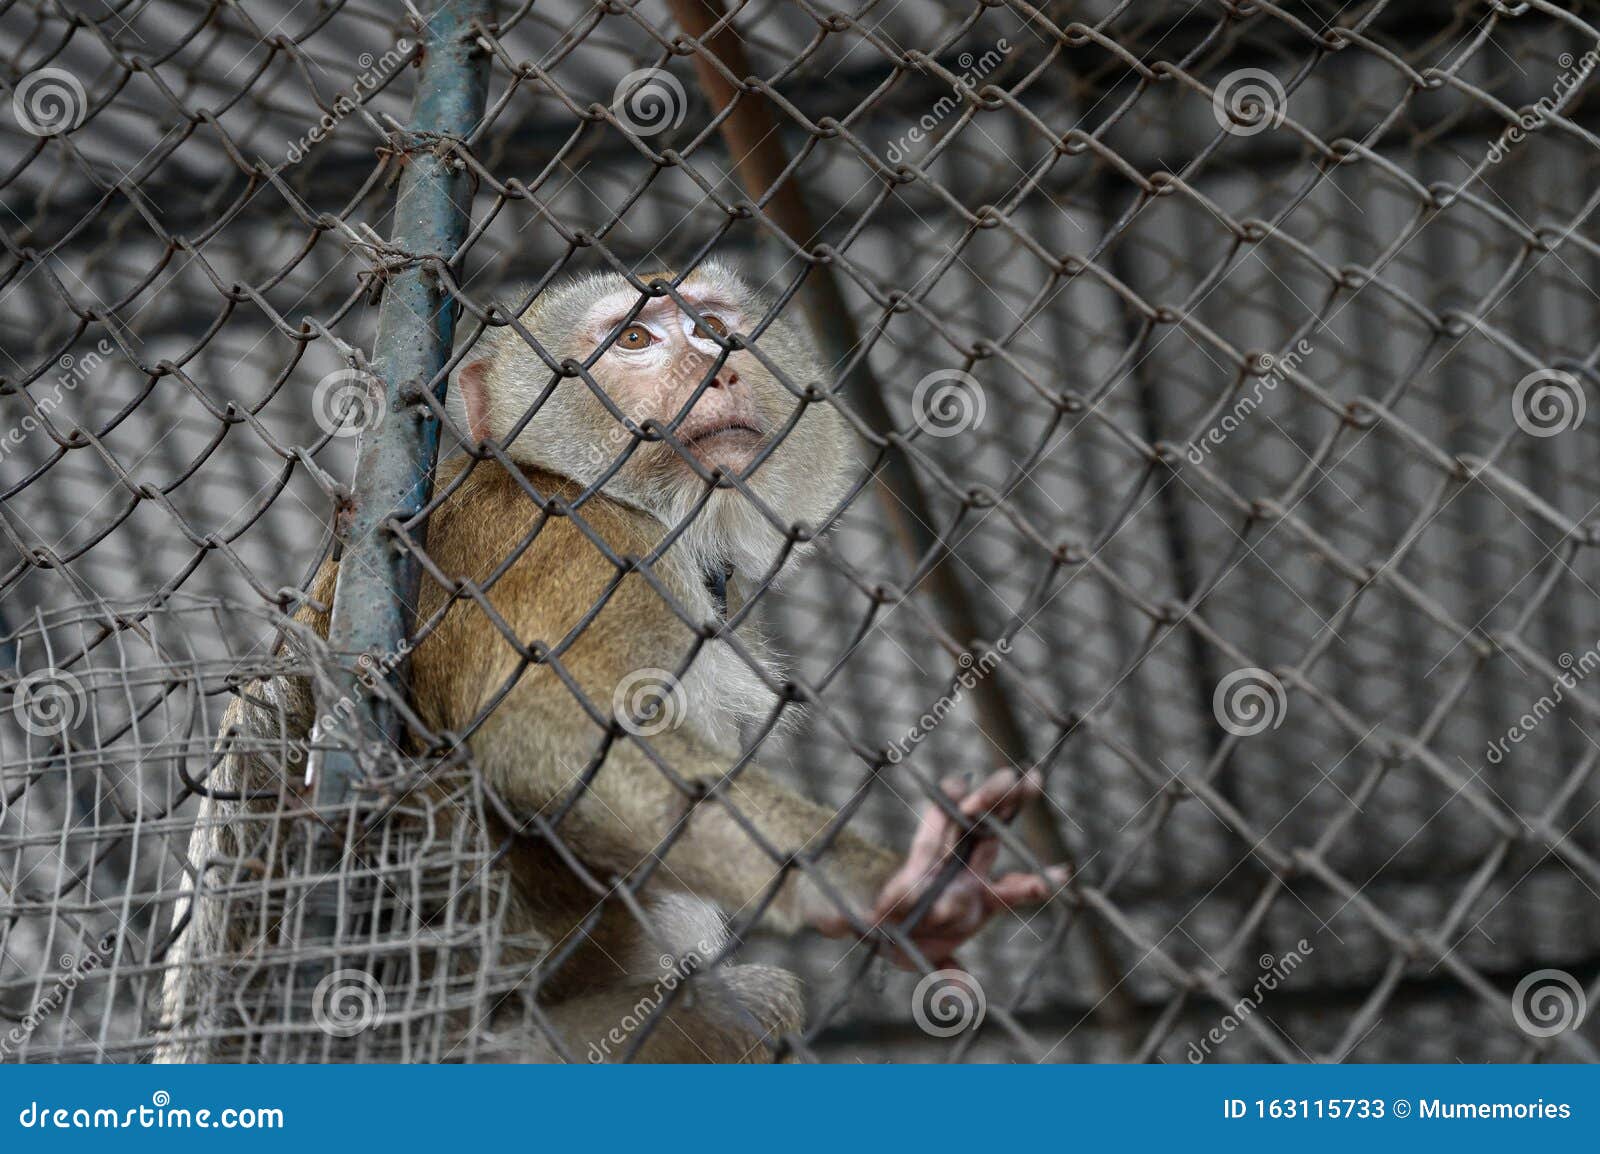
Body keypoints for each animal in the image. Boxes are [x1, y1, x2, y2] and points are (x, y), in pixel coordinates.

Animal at [155, 260, 1060, 1063]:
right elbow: (551, 725)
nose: (719, 367)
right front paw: (879, 884)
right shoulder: (575, 540)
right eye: (634, 338)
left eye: (711, 324)